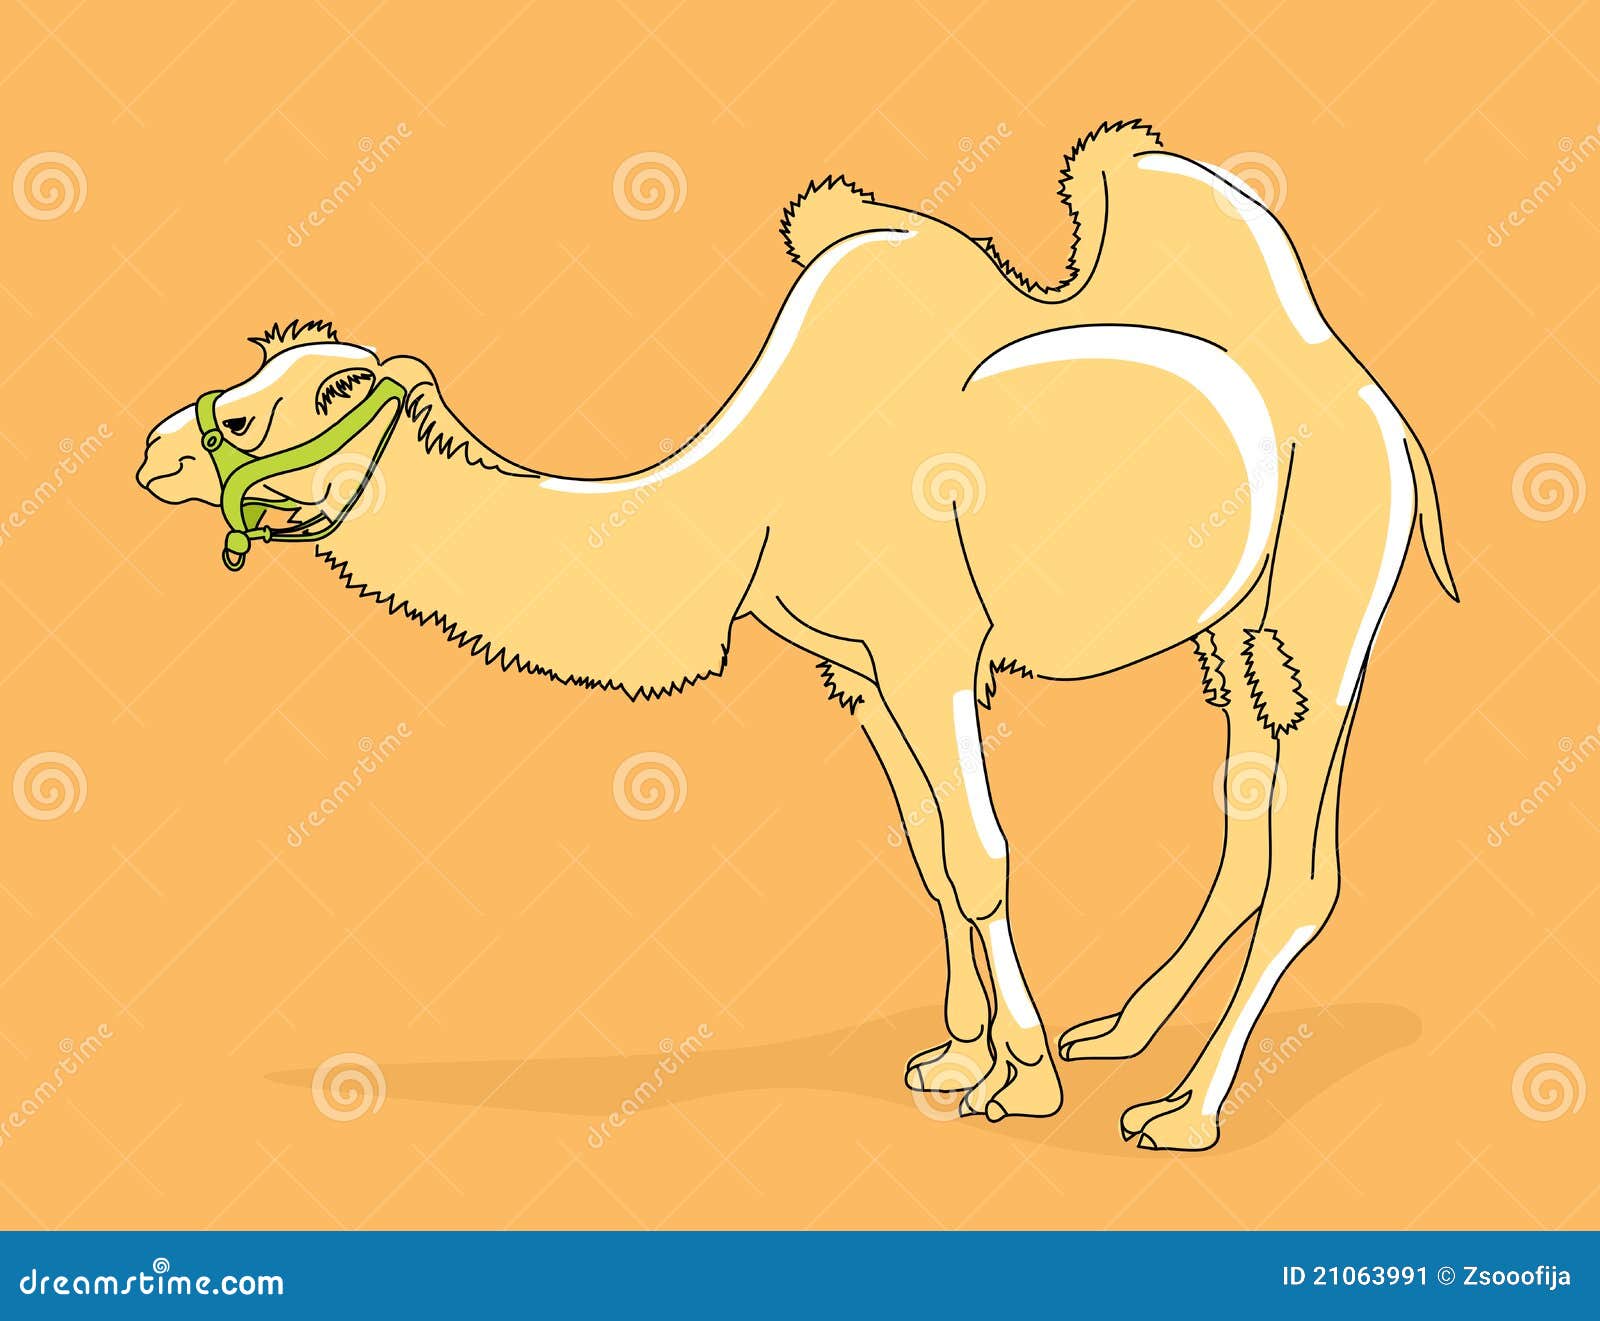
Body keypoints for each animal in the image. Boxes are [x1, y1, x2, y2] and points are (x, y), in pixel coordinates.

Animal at [136, 121, 1456, 1150]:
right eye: (255, 376)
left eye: (306, 399)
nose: (158, 447)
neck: (751, 485)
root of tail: (1375, 402)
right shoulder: (853, 663)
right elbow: (925, 849)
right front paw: (958, 1056)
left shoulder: (929, 642)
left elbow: (980, 854)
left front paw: (1021, 1081)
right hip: (1233, 621)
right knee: (1246, 807)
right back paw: (1121, 1032)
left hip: (1332, 575)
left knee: (1304, 858)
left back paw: (1182, 1109)